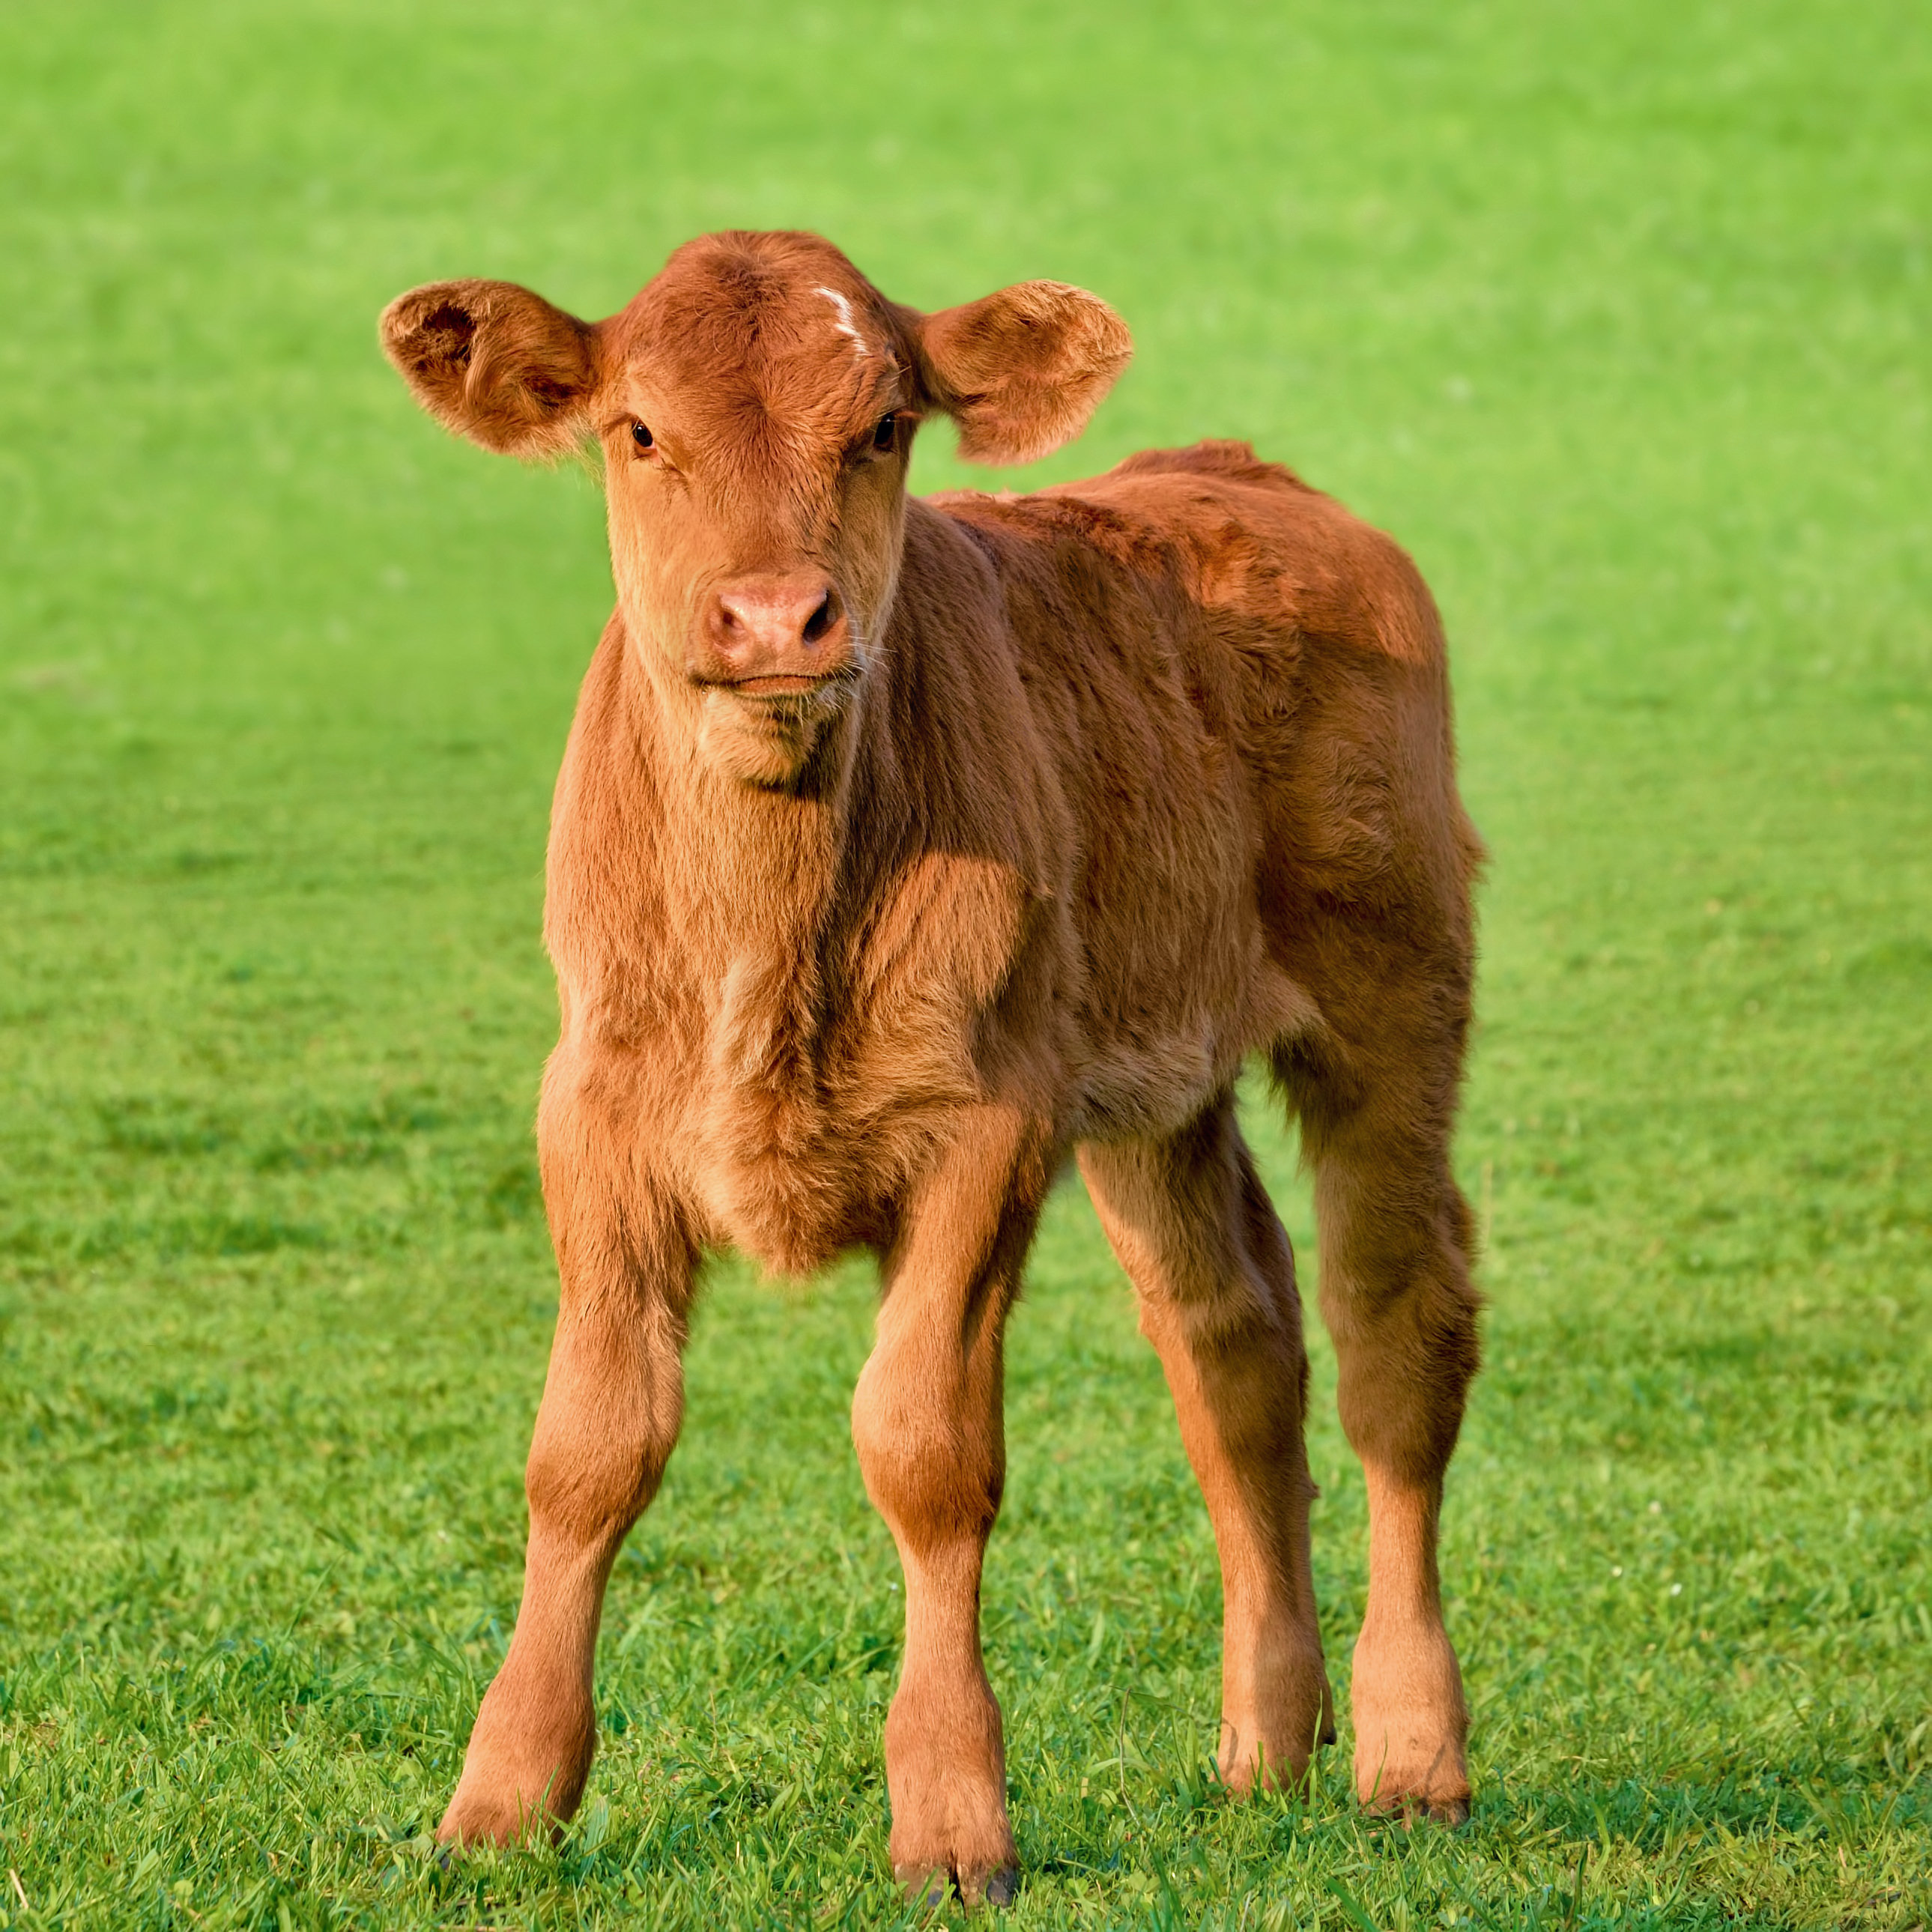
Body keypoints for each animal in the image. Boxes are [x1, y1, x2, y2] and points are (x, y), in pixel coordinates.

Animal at [380, 229, 1484, 1907]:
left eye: (883, 427)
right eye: (637, 431)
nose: (777, 617)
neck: (765, 923)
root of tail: (1250, 475)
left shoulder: (984, 1125)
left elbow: (924, 1445)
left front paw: (953, 1813)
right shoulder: (594, 1114)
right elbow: (586, 1447)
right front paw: (500, 1798)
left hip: (1393, 995)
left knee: (1391, 1336)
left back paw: (1410, 1751)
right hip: (1152, 1085)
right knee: (1230, 1340)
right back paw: (1265, 1739)